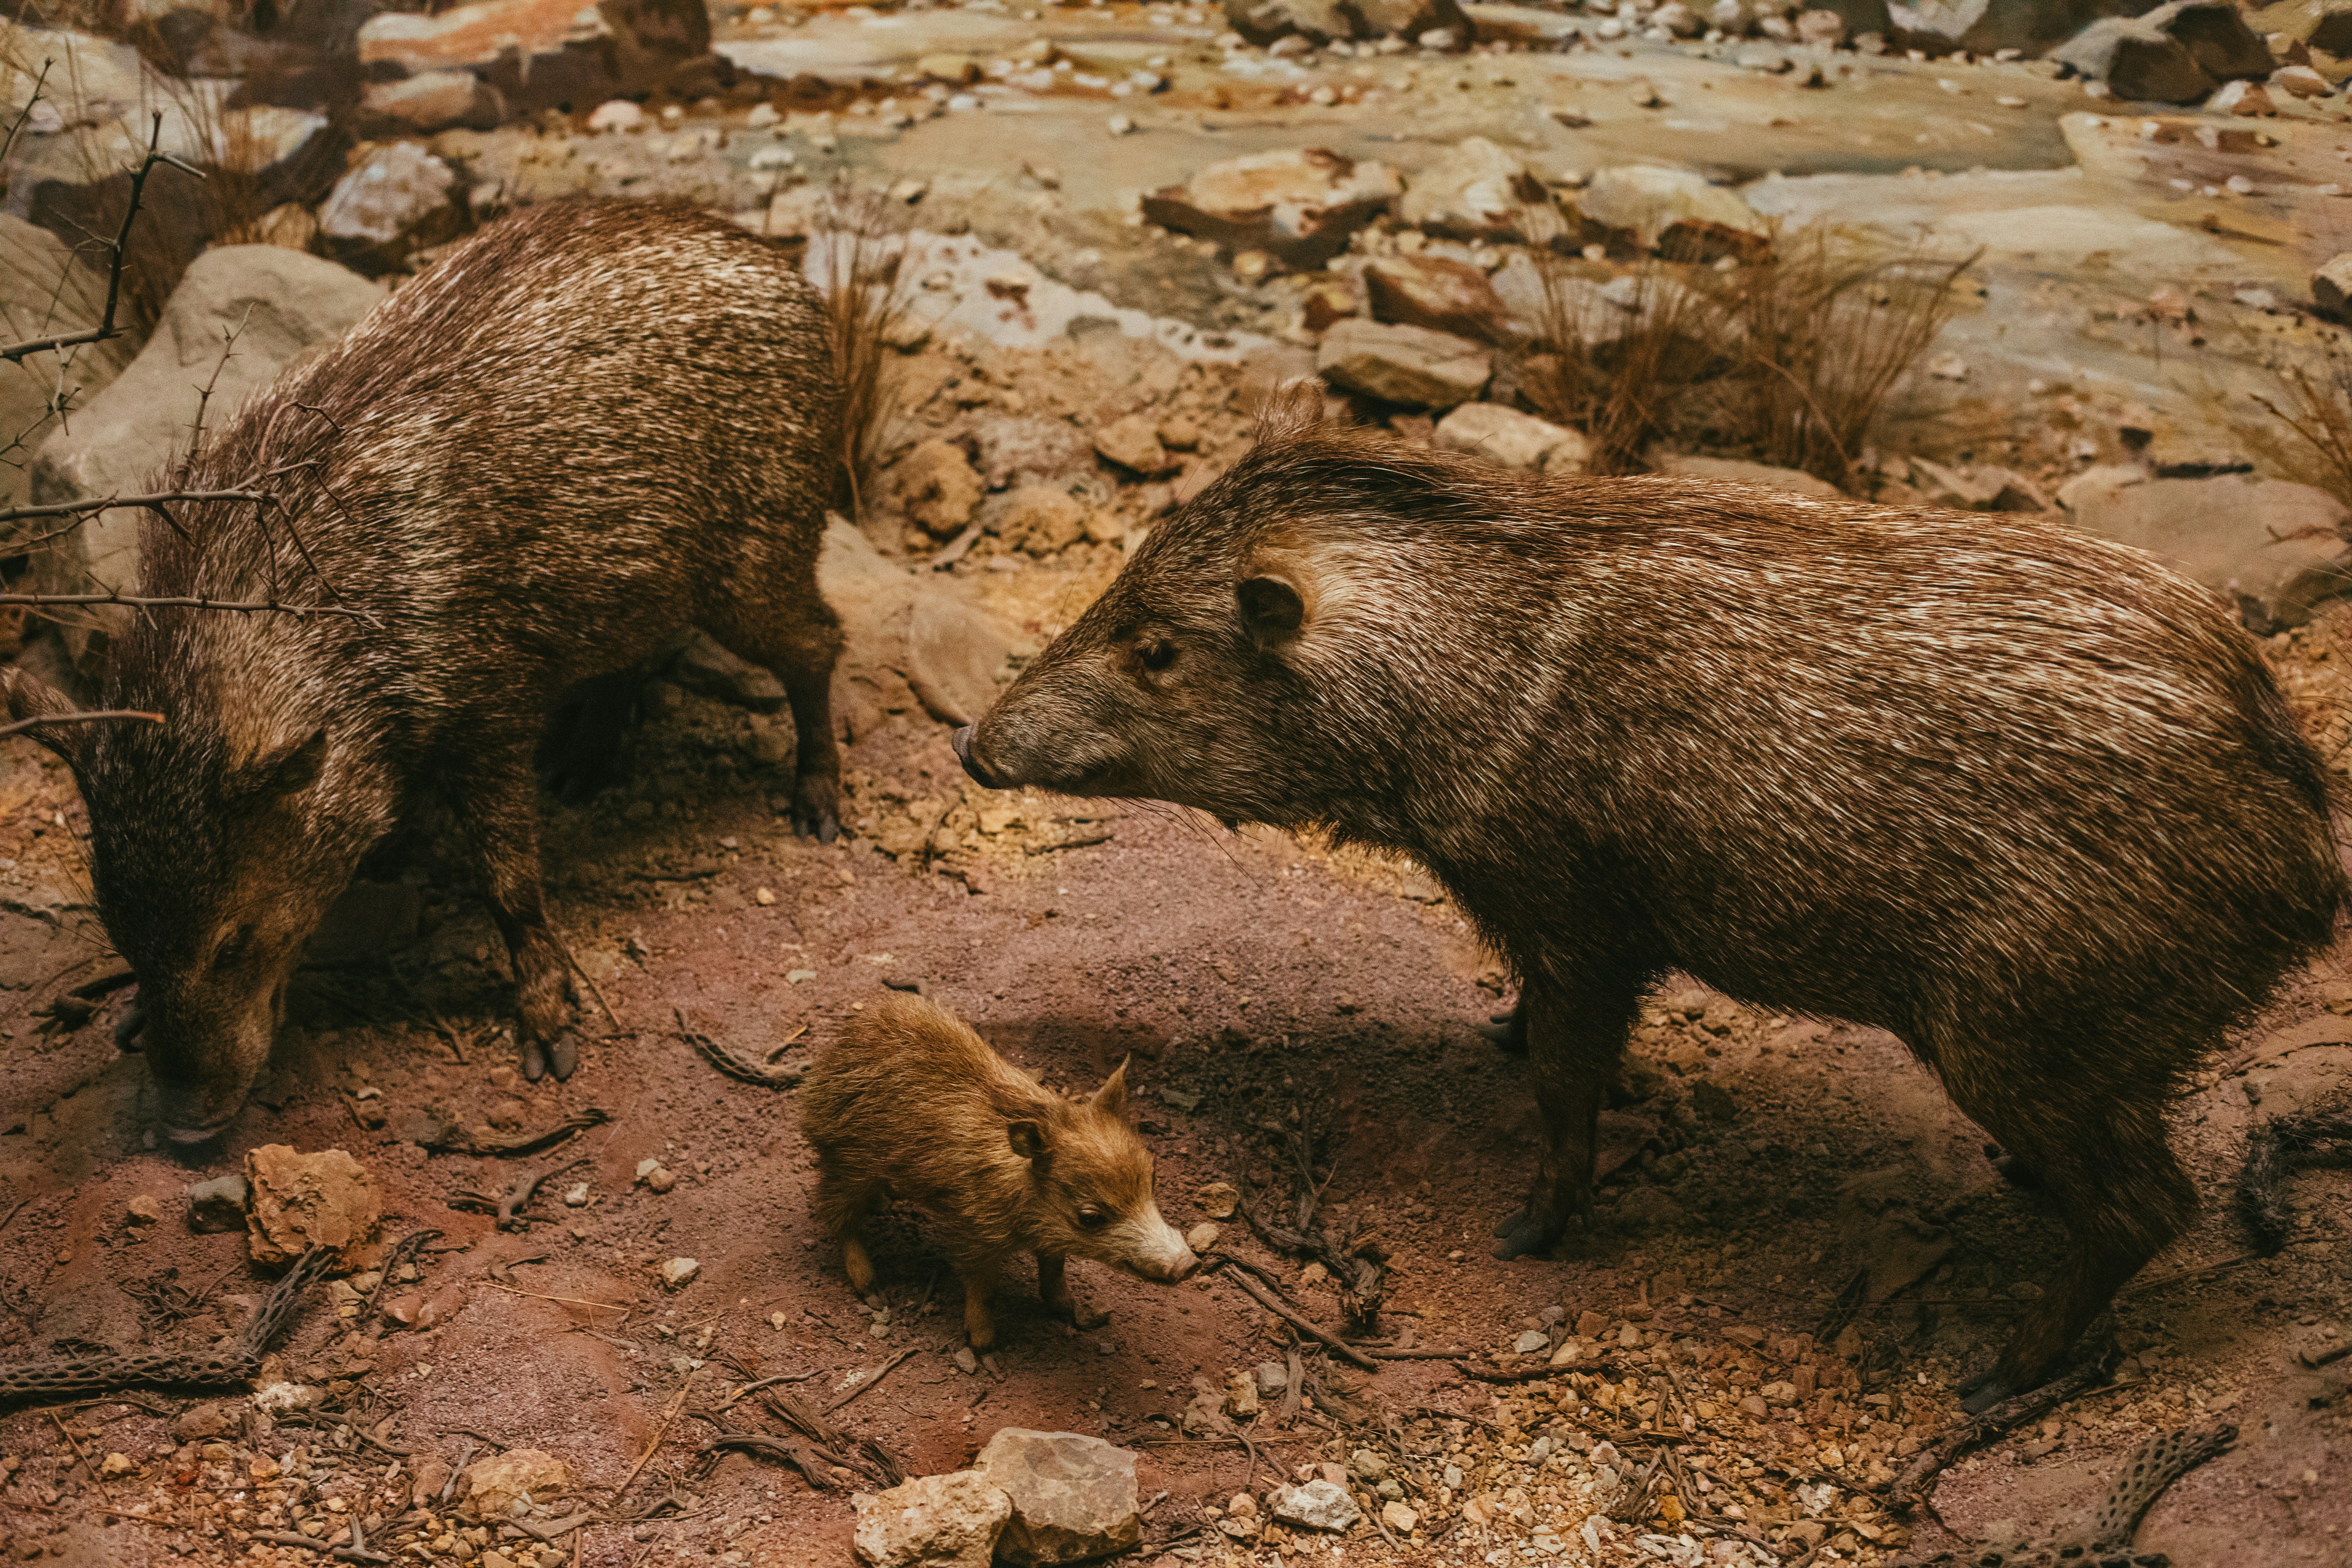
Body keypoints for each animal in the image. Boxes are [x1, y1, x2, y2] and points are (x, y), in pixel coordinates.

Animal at [0, 200, 846, 1141]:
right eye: (120, 936)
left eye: (235, 942)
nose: (182, 1129)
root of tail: (792, 282)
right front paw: (128, 1016)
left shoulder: (489, 708)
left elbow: (509, 880)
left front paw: (549, 1035)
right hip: (640, 583)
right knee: (633, 667)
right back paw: (584, 769)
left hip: (757, 557)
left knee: (819, 645)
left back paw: (818, 804)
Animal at [800, 994, 1198, 1349]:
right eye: (1090, 1217)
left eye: (1153, 1178)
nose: (1188, 1265)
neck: (1017, 1192)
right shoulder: (973, 1232)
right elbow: (983, 1289)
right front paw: (985, 1348)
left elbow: (1055, 1266)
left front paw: (1070, 1311)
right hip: (849, 1162)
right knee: (836, 1215)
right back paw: (873, 1293)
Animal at [952, 390, 2347, 1410]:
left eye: (1155, 650)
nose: (970, 745)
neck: (1448, 675)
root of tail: (2305, 853)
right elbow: (1534, 1033)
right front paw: (1497, 1038)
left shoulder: (1581, 919)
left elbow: (1566, 1084)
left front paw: (1530, 1229)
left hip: (2017, 1024)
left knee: (2149, 1208)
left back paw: (1995, 1377)